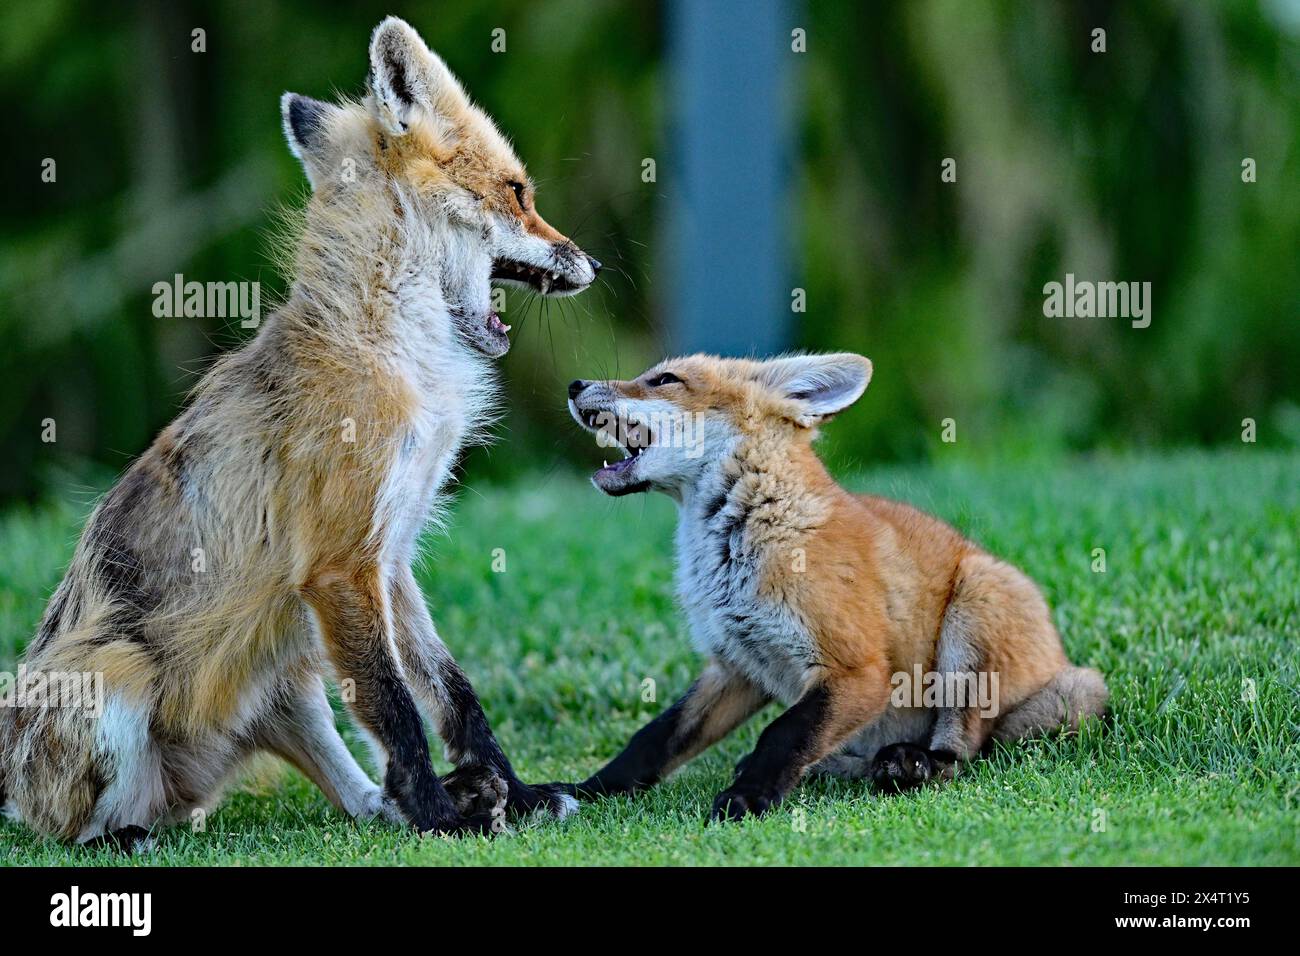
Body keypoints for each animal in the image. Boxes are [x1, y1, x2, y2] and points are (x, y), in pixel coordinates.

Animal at [0, 16, 599, 849]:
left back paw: (408, 806)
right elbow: (396, 710)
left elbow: (452, 694)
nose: (594, 262)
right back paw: (125, 837)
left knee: (354, 795)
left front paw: (512, 791)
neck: (394, 352)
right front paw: (440, 817)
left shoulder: (389, 555)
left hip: (291, 672)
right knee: (75, 827)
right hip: (119, 673)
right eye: (518, 193)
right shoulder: (338, 565)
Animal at [557, 353, 1108, 819]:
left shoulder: (858, 671)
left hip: (974, 613)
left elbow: (782, 734)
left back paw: (914, 765)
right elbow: (653, 739)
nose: (574, 384)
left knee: (962, 754)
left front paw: (746, 799)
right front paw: (583, 792)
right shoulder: (735, 667)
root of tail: (1058, 658)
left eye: (664, 380)